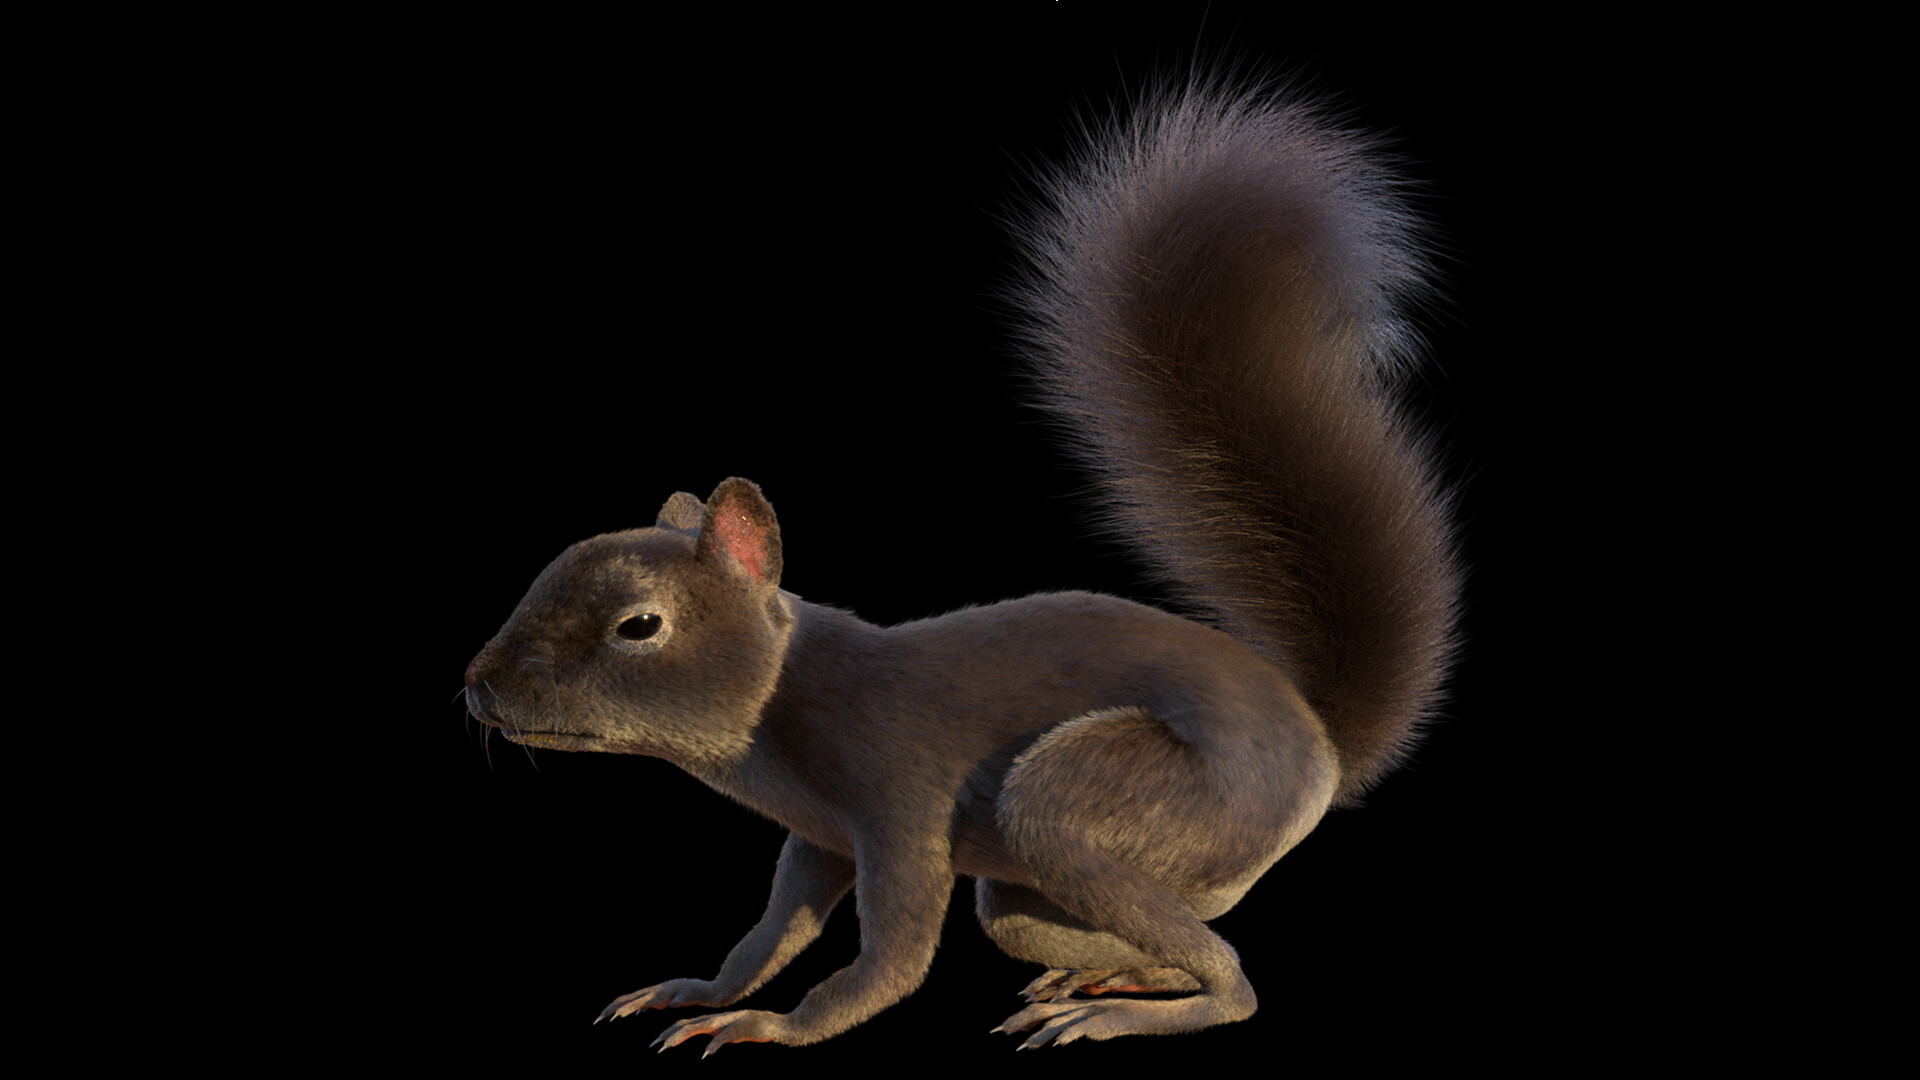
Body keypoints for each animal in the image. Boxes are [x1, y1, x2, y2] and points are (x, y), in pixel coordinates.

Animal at [463, 79, 1461, 1053]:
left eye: (639, 626)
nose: (476, 687)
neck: (785, 697)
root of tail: (1318, 744)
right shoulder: (817, 838)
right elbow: (773, 930)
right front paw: (707, 989)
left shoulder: (900, 794)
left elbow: (890, 959)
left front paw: (772, 1027)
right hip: (1038, 887)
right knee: (1112, 934)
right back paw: (1114, 976)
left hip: (1114, 796)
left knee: (1232, 976)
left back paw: (1123, 1010)